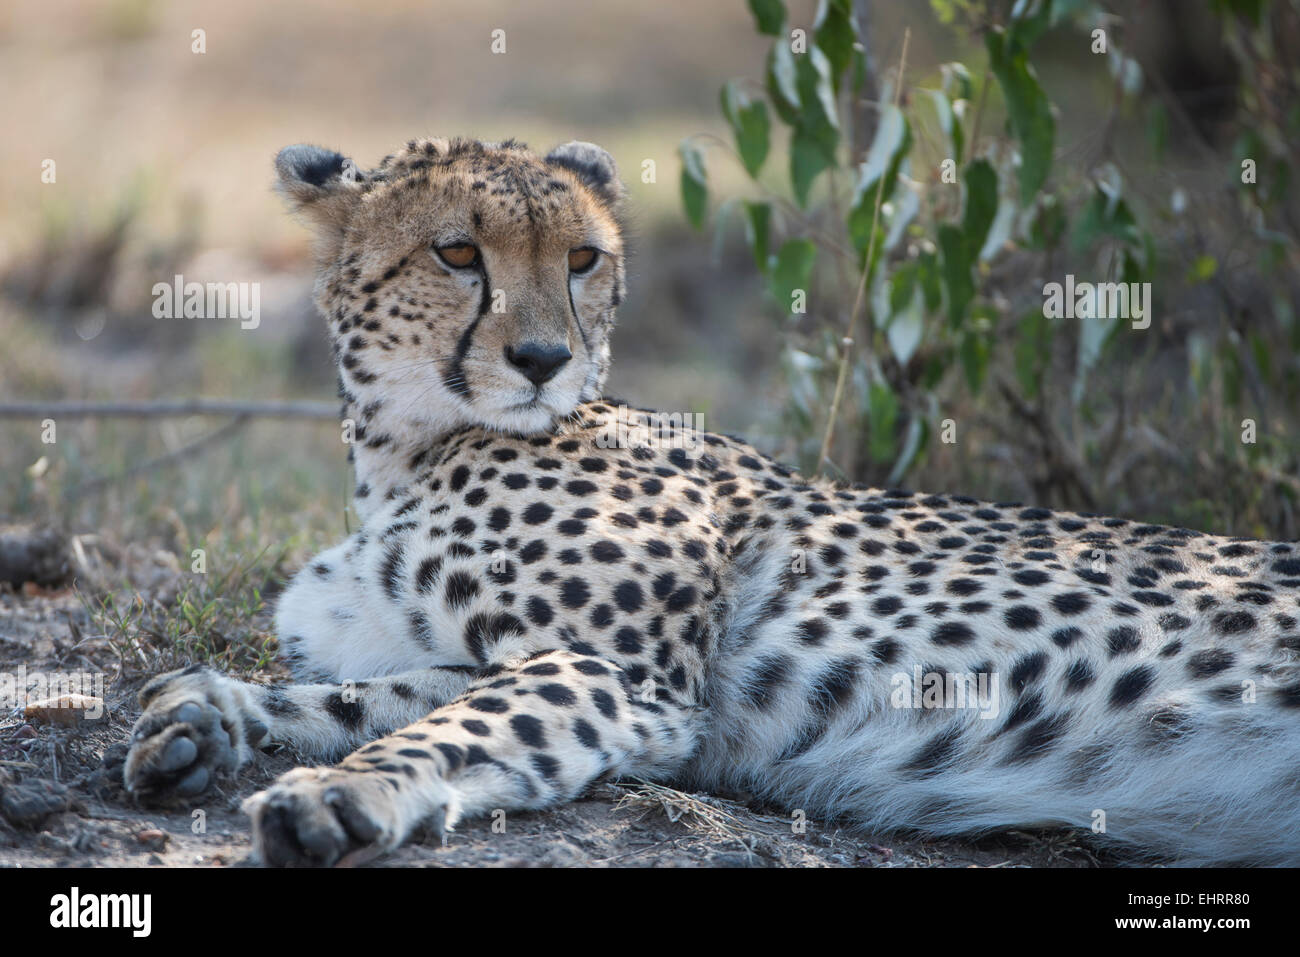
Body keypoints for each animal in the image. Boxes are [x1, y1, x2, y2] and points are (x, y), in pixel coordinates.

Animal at [122, 135, 1300, 867]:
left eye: (583, 259)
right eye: (456, 253)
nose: (544, 359)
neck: (405, 448)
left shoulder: (631, 678)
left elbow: (451, 724)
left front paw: (339, 795)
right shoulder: (535, 668)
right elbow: (373, 695)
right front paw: (204, 713)